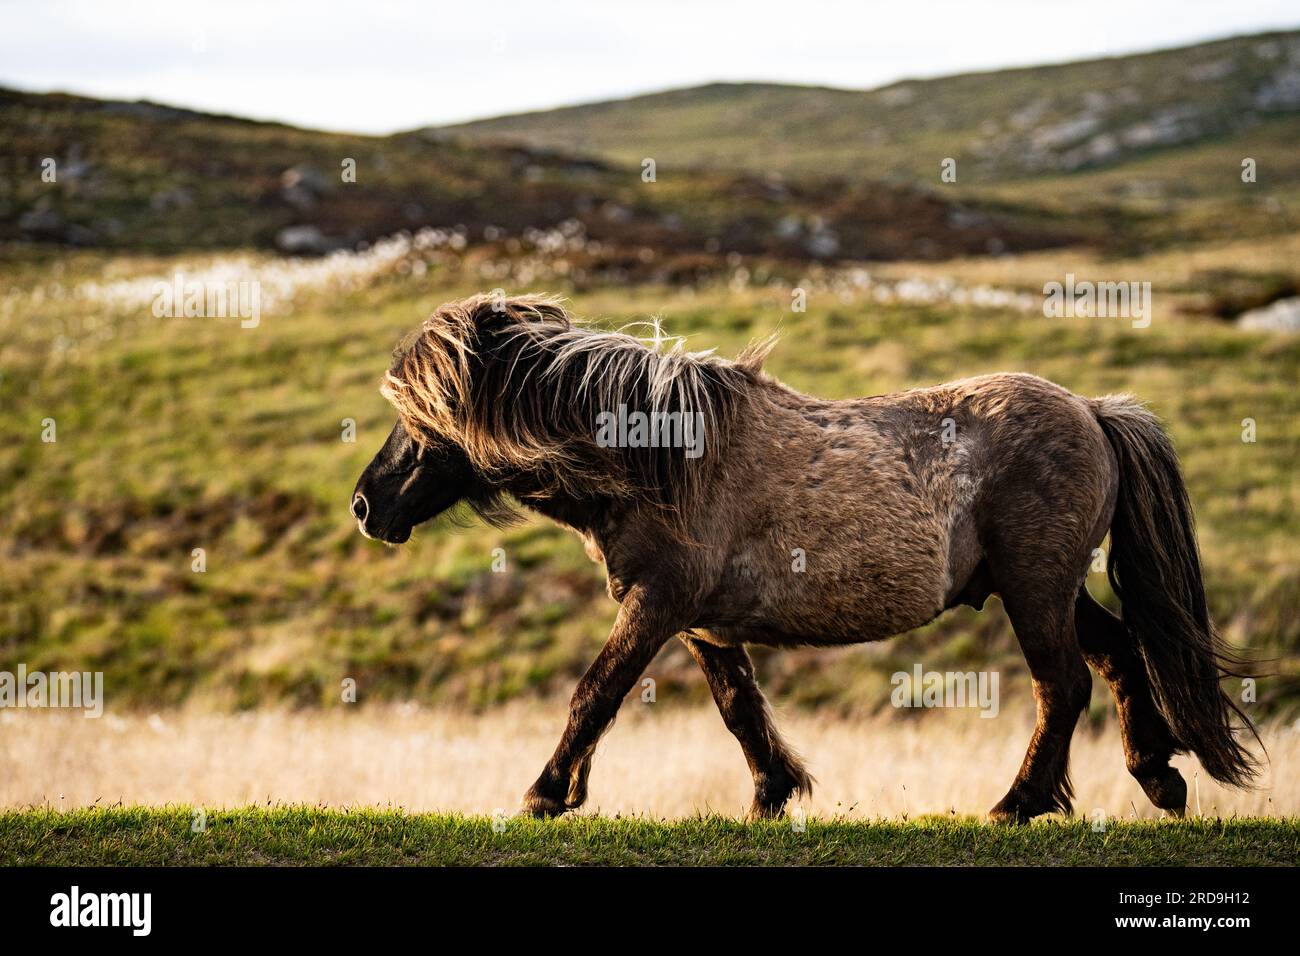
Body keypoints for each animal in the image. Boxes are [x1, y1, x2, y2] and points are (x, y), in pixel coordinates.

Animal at [352, 293, 1258, 822]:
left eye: (423, 416)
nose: (366, 506)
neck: (661, 457)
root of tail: (1095, 412)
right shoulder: (700, 623)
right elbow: (739, 709)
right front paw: (771, 795)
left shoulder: (656, 604)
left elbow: (595, 692)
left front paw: (546, 793)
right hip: (1050, 587)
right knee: (1117, 656)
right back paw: (1158, 777)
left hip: (1035, 588)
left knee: (1063, 685)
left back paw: (1018, 804)